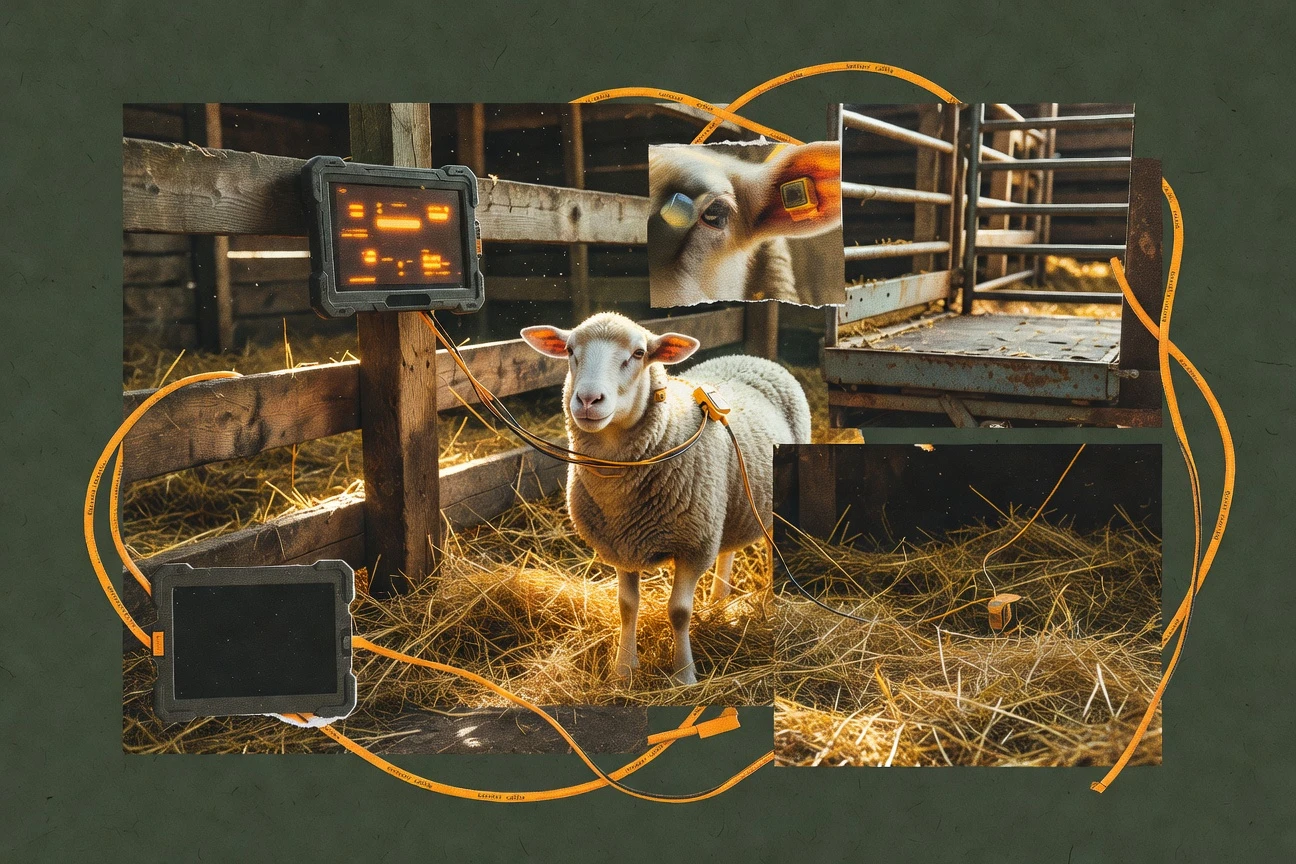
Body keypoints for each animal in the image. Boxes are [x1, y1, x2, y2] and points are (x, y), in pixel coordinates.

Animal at [521, 312, 812, 685]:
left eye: (639, 353)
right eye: (570, 350)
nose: (587, 400)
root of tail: (755, 358)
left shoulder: (694, 545)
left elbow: (679, 611)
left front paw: (684, 675)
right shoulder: (622, 544)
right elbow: (627, 607)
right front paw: (624, 670)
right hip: (727, 501)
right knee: (728, 548)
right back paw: (719, 601)